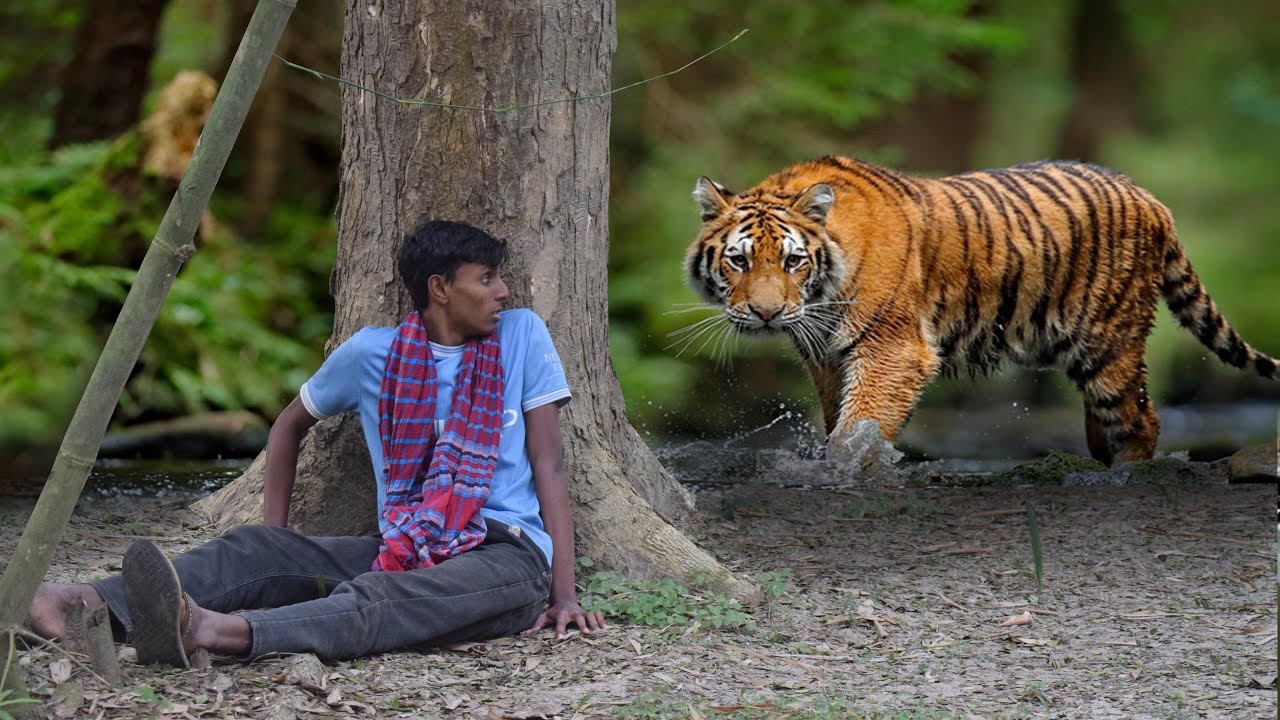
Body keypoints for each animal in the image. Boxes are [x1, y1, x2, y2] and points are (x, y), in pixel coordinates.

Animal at [684, 156, 1277, 466]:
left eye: (792, 261)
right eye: (738, 261)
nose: (765, 314)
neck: (822, 297)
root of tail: (1151, 198)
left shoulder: (894, 348)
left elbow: (861, 424)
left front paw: (848, 468)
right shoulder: (826, 356)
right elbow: (838, 419)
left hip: (1109, 343)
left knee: (1141, 420)